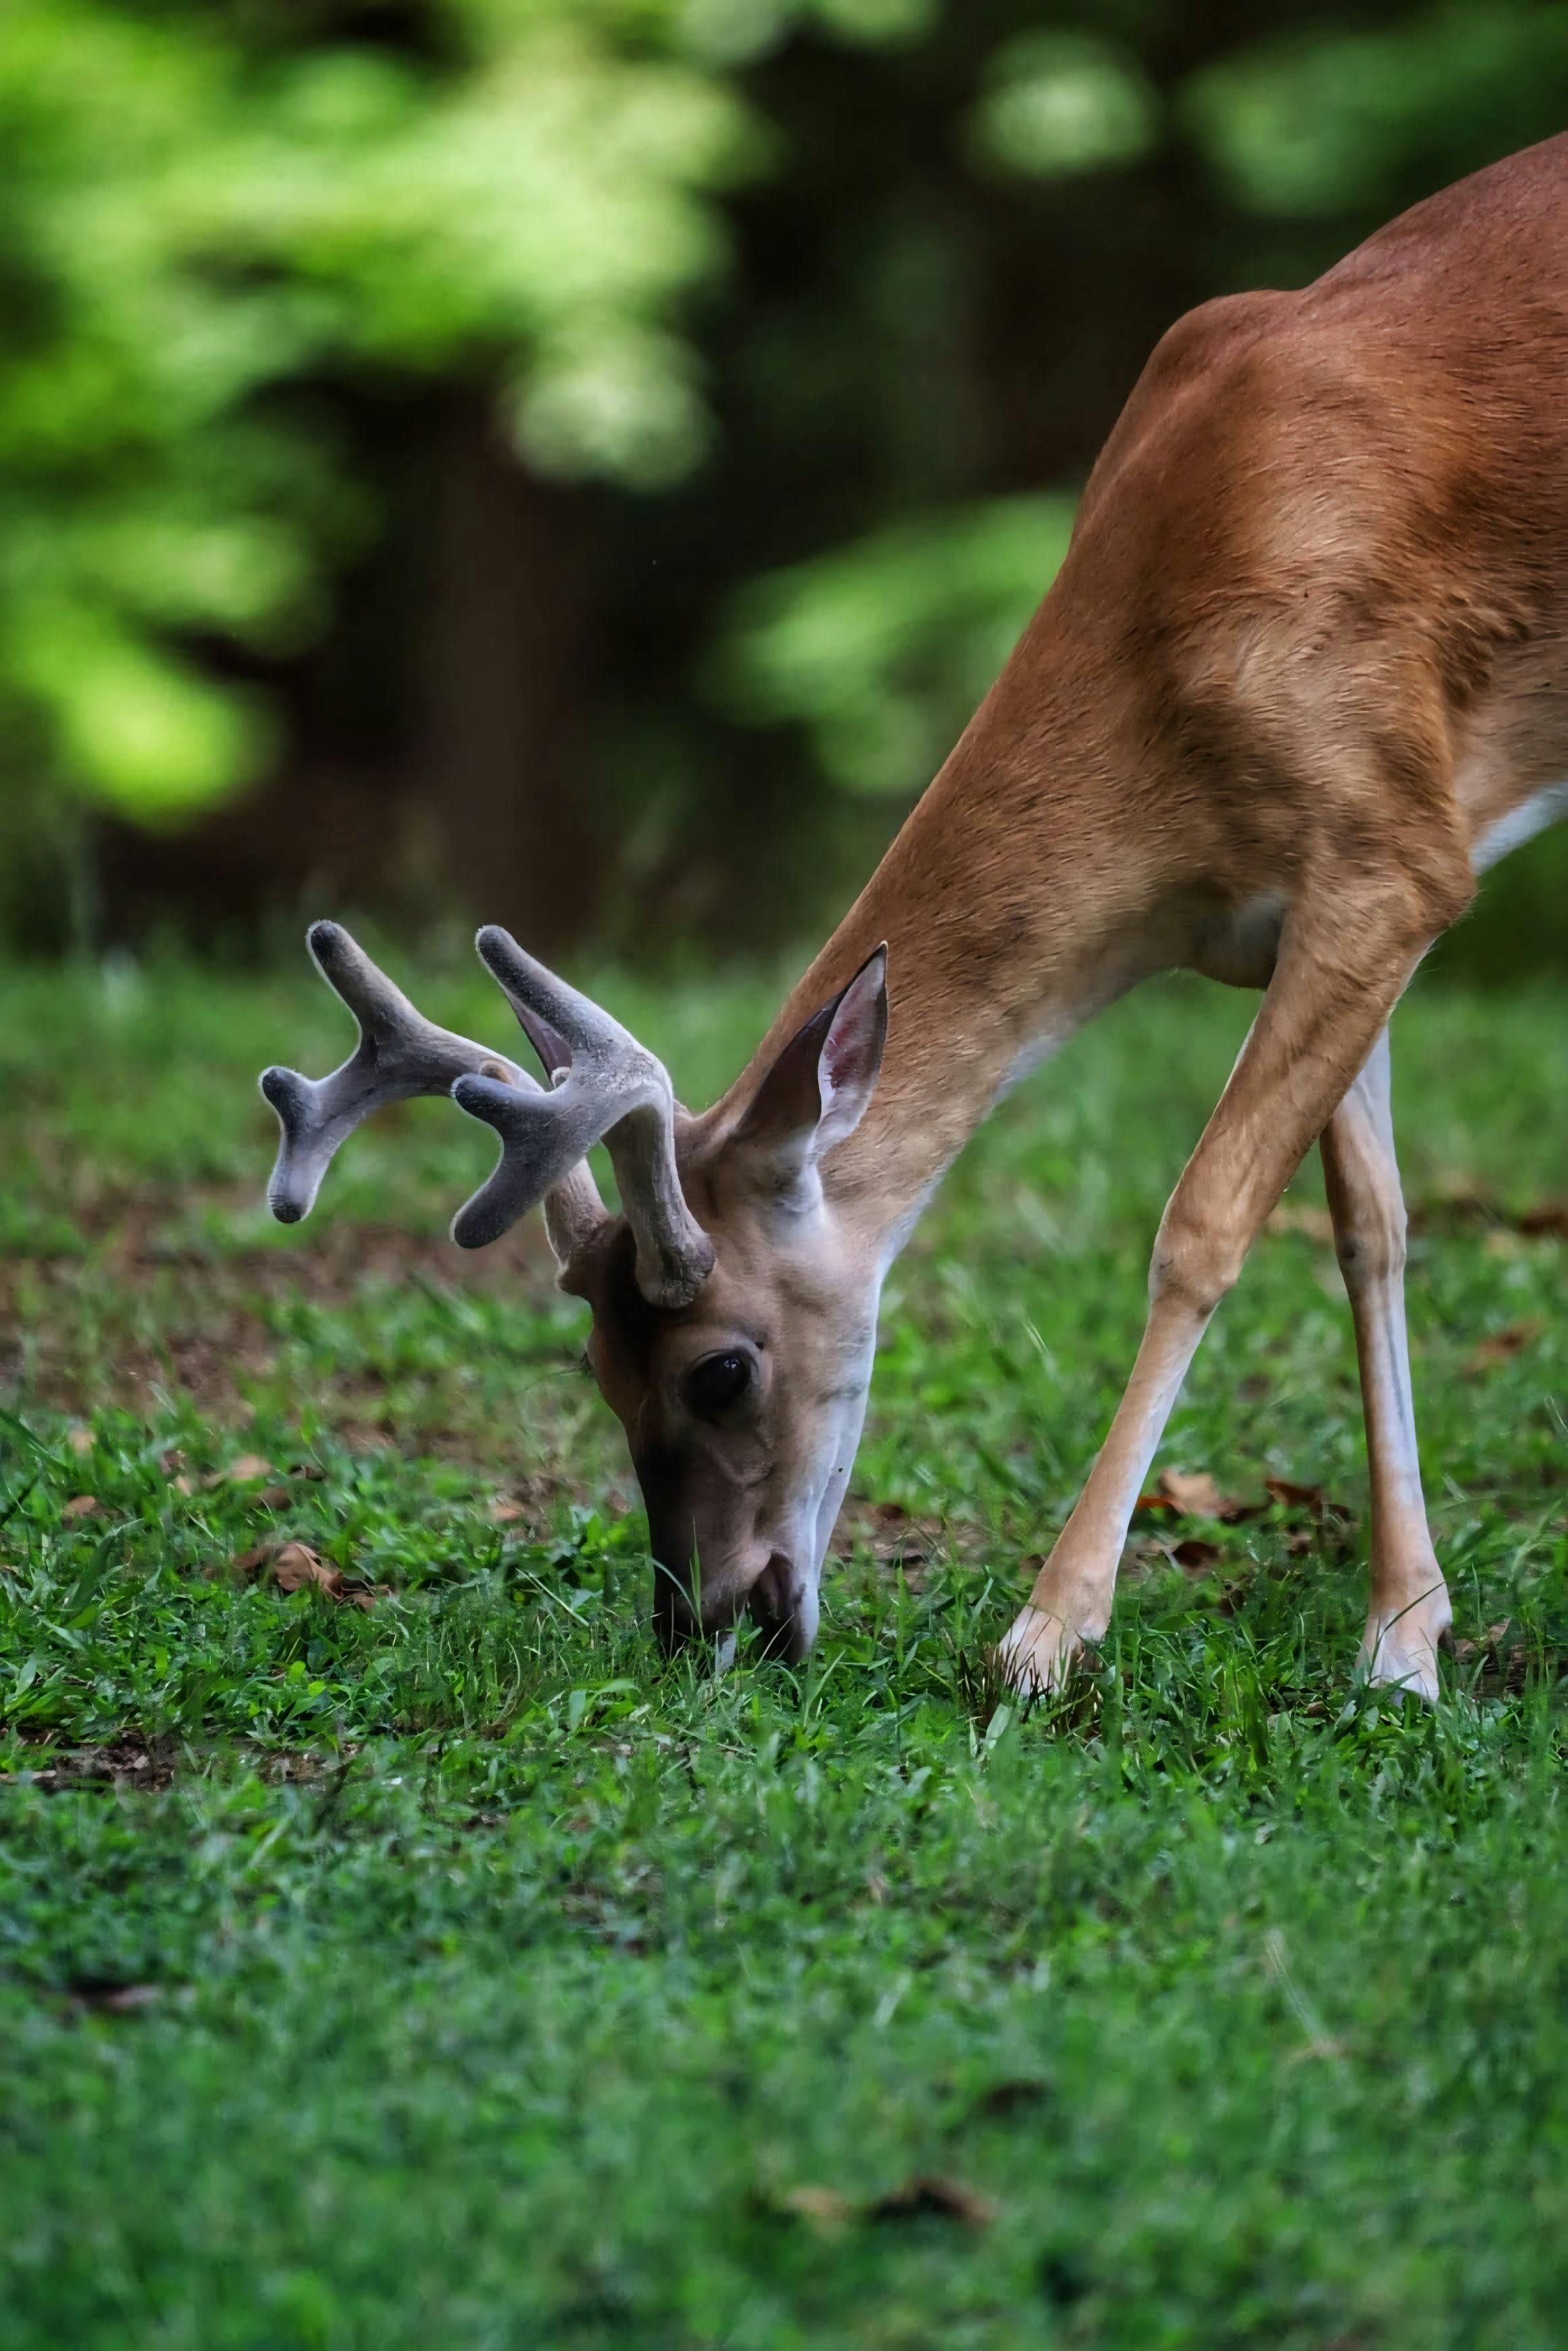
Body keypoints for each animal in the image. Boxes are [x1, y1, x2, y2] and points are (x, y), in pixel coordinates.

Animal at [260, 135, 1568, 1702]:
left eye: (720, 1365)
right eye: (595, 1370)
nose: (706, 1622)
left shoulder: (1392, 857)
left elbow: (1199, 1223)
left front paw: (1045, 1634)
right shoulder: (1326, 911)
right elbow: (1370, 1226)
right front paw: (1403, 1632)